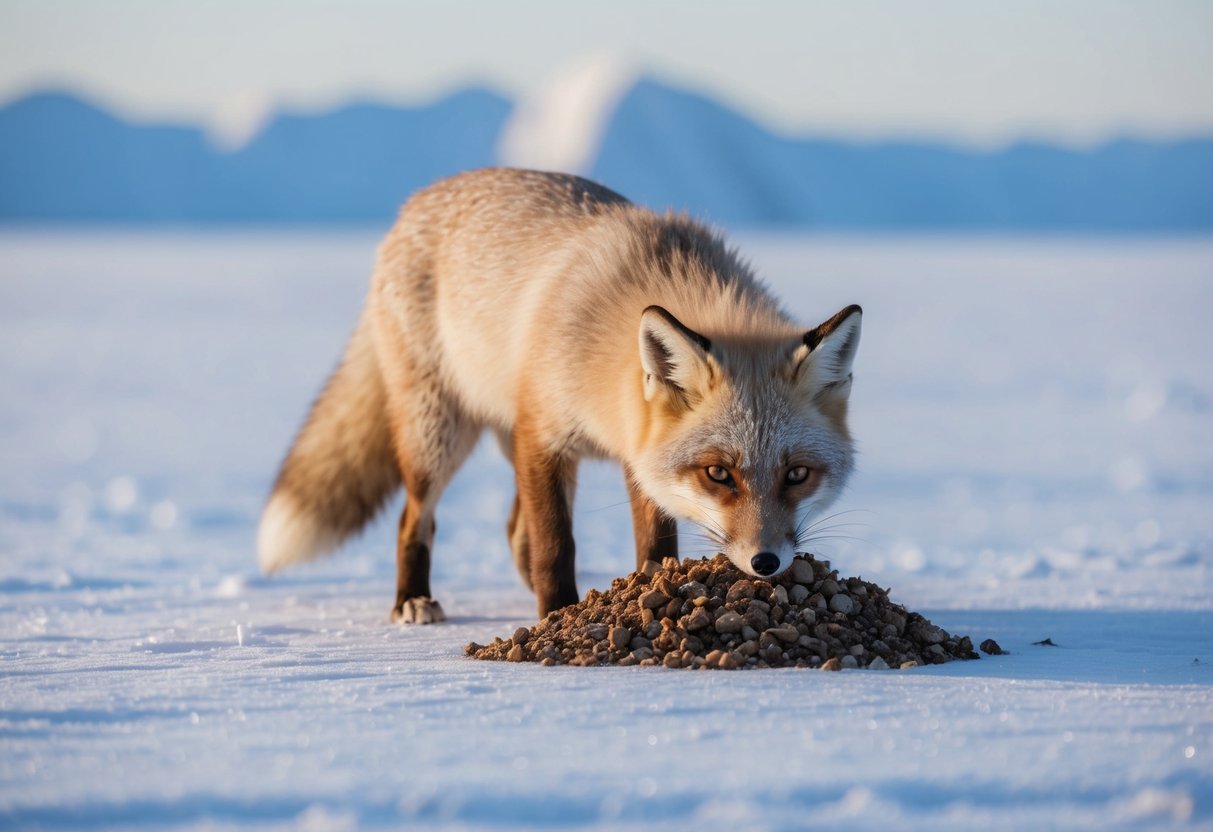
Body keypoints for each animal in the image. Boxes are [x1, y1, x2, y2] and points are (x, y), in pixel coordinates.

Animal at [257, 168, 862, 623]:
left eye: (797, 475)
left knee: (510, 528)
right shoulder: (545, 434)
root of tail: (416, 202)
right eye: (719, 474)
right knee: (417, 519)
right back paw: (413, 600)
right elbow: (555, 545)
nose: (765, 563)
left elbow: (655, 544)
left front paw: (646, 590)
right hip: (438, 436)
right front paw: (557, 616)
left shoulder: (636, 448)